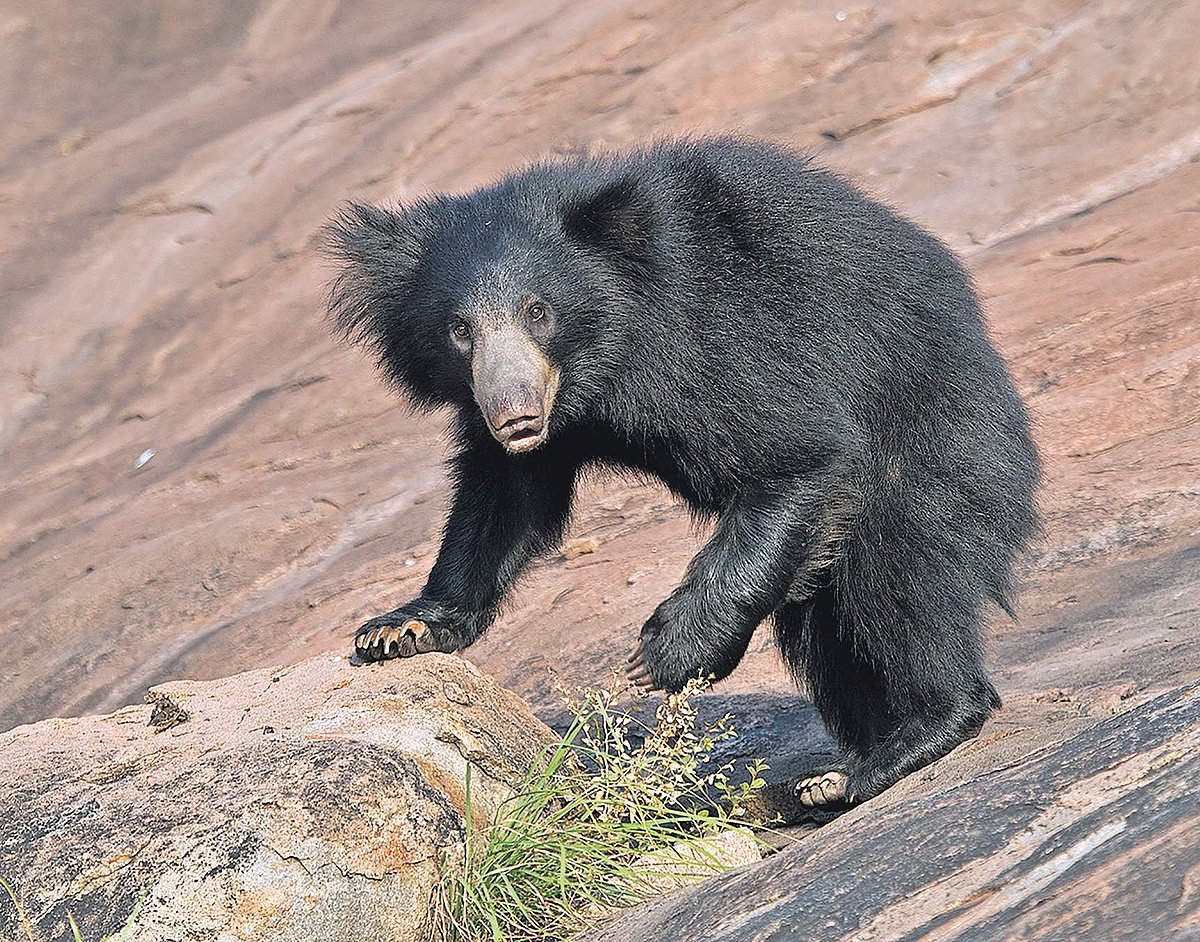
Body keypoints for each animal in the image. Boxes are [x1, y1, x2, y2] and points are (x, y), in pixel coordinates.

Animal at [324, 136, 1040, 809]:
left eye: (538, 311)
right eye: (459, 329)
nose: (515, 415)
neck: (599, 365)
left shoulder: (714, 338)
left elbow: (799, 453)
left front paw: (658, 658)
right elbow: (508, 498)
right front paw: (400, 628)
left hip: (935, 446)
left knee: (903, 578)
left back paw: (900, 744)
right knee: (824, 625)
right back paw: (833, 771)